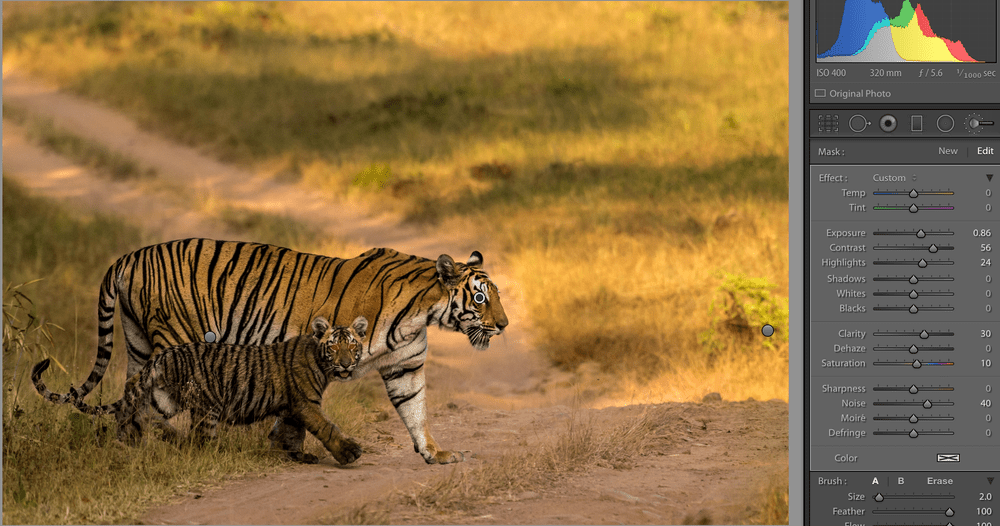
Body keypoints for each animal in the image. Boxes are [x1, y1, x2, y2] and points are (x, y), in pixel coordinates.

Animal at [32, 315, 368, 464]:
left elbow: (289, 431)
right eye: (334, 347)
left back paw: (139, 443)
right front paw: (349, 453)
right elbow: (326, 427)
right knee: (199, 440)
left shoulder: (292, 406)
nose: (346, 364)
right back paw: (211, 450)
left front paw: (295, 455)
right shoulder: (305, 402)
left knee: (140, 415)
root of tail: (162, 356)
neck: (320, 361)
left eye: (352, 345)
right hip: (207, 405)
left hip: (165, 398)